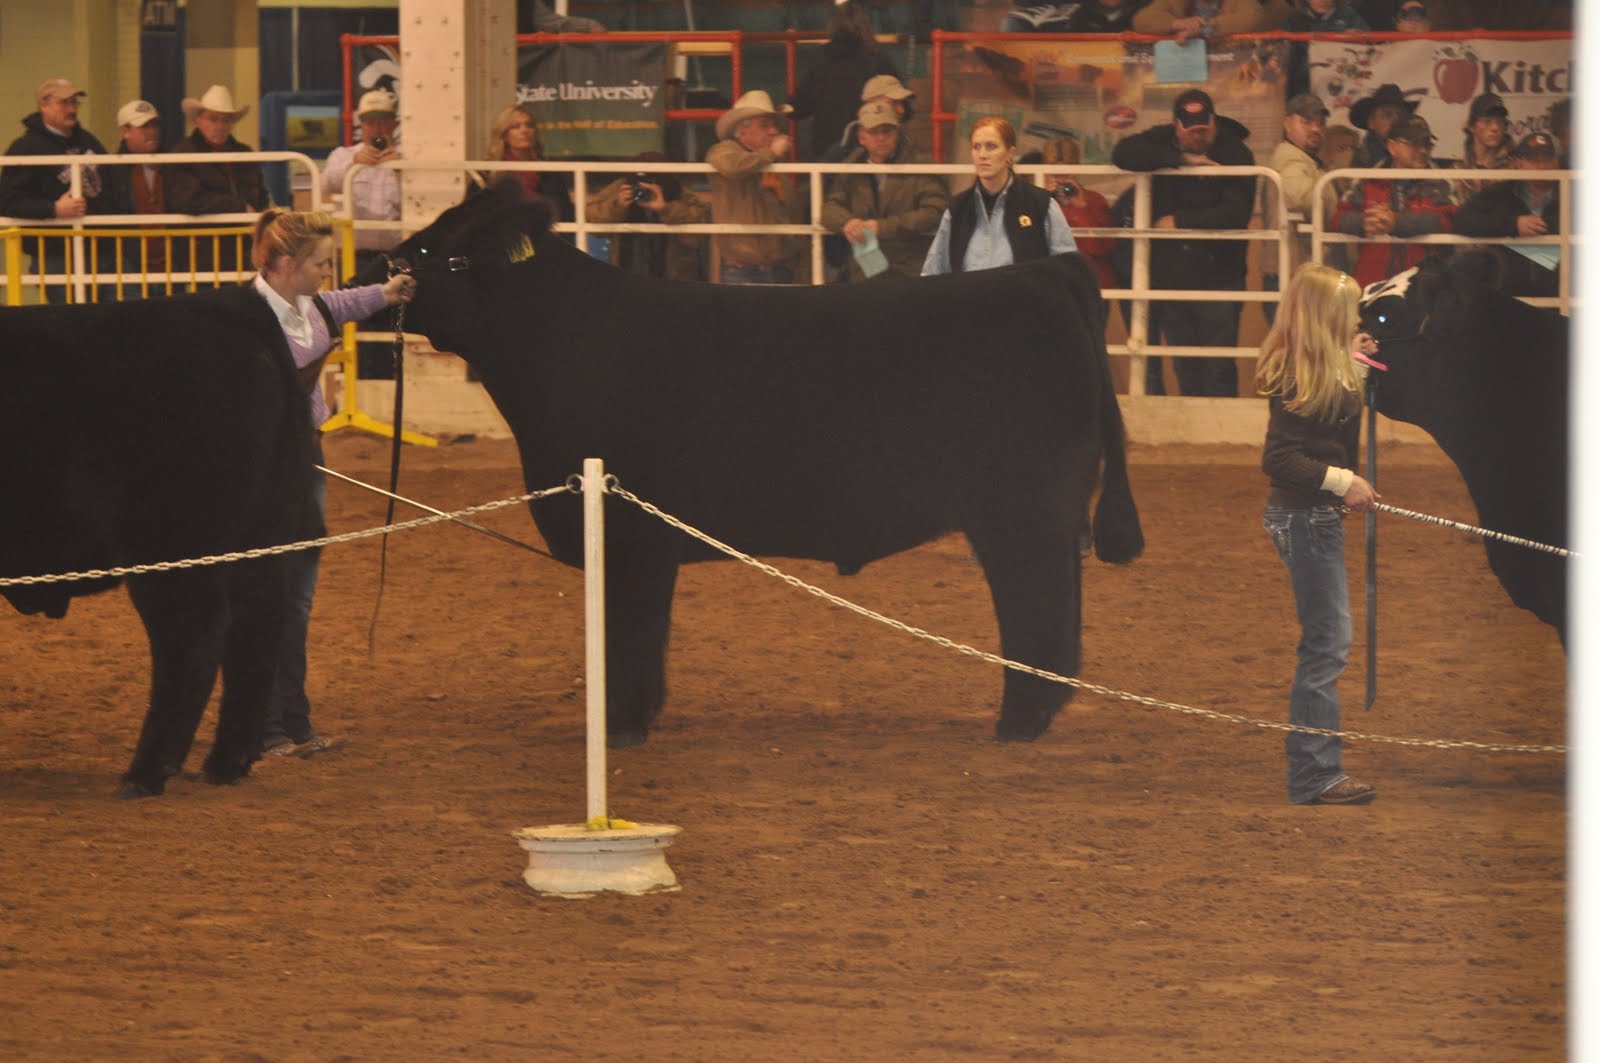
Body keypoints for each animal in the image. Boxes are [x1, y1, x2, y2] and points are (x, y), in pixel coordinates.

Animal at [1, 286, 317, 796]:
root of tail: (232, 303)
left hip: (168, 543)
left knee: (191, 633)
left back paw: (146, 773)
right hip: (257, 536)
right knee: (257, 622)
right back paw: (227, 763)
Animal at [365, 181, 1143, 745]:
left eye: (444, 251)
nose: (380, 268)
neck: (564, 342)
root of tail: (1047, 273)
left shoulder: (629, 534)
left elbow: (629, 636)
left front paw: (619, 729)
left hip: (1024, 516)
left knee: (1040, 616)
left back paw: (1017, 723)